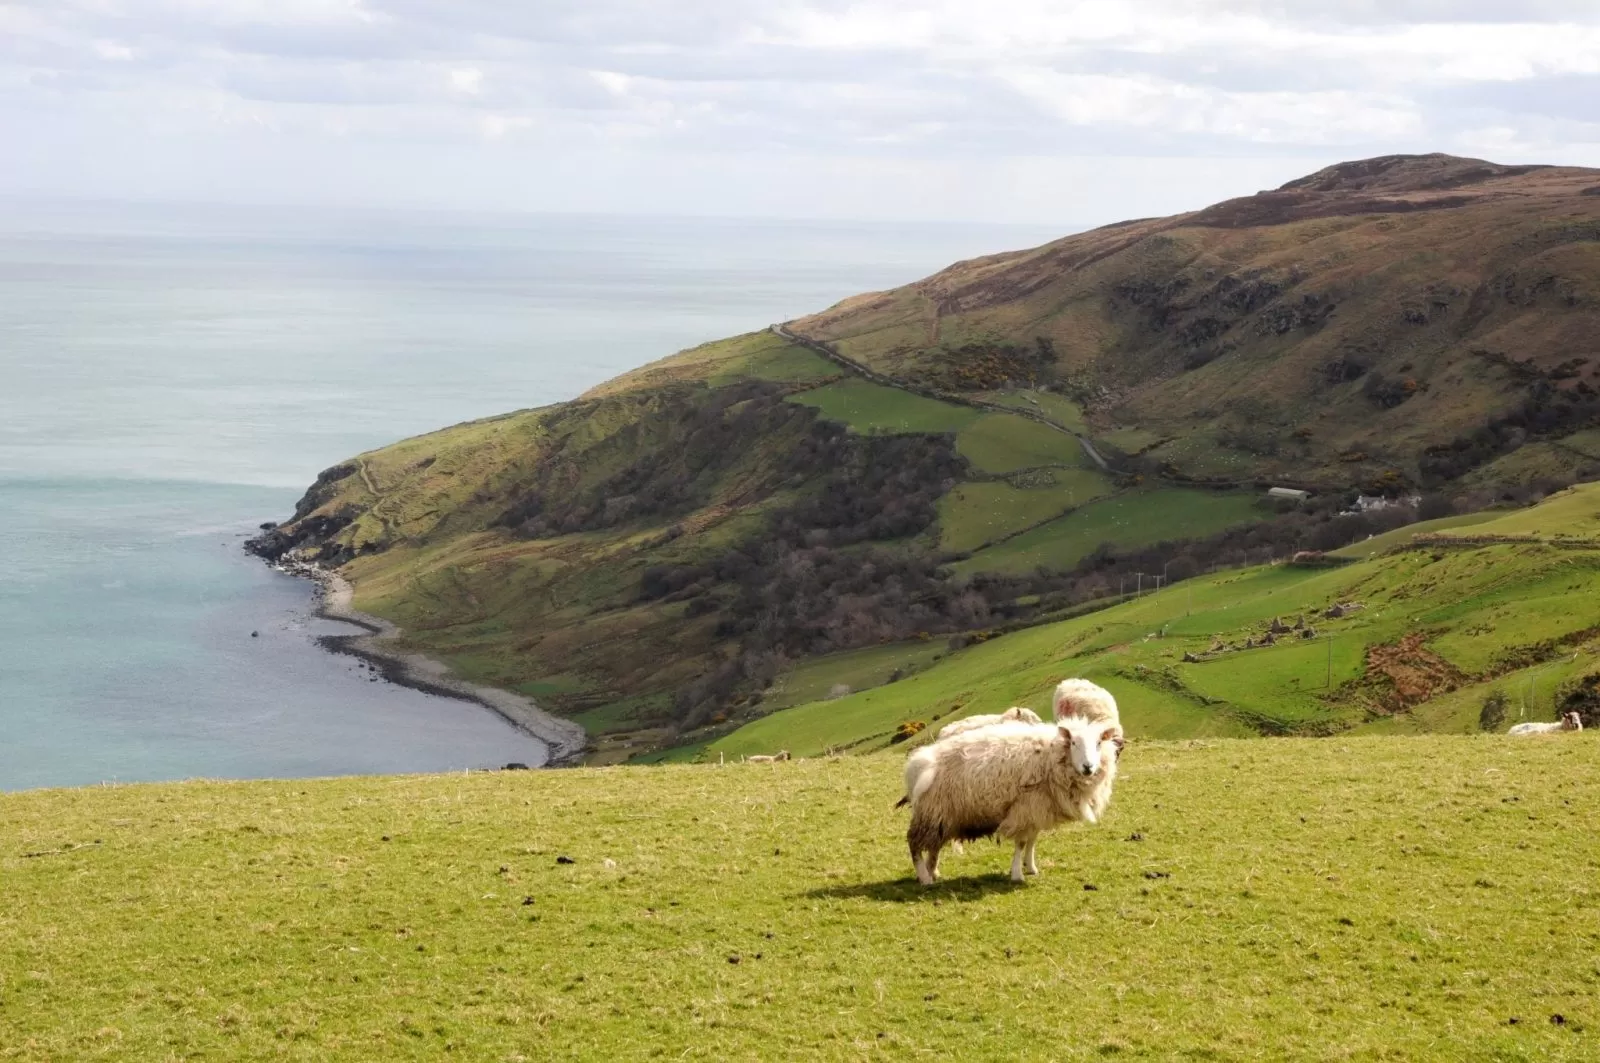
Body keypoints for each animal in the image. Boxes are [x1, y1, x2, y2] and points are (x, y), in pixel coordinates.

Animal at [908, 714, 1120, 890]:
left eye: (1099, 742)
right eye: (1074, 742)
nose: (1088, 767)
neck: (1051, 756)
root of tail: (918, 764)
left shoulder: (1037, 808)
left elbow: (1032, 840)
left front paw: (1031, 867)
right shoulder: (1024, 809)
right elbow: (1022, 842)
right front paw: (1017, 874)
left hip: (942, 817)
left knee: (933, 846)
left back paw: (932, 871)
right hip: (932, 811)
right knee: (915, 844)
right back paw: (925, 878)